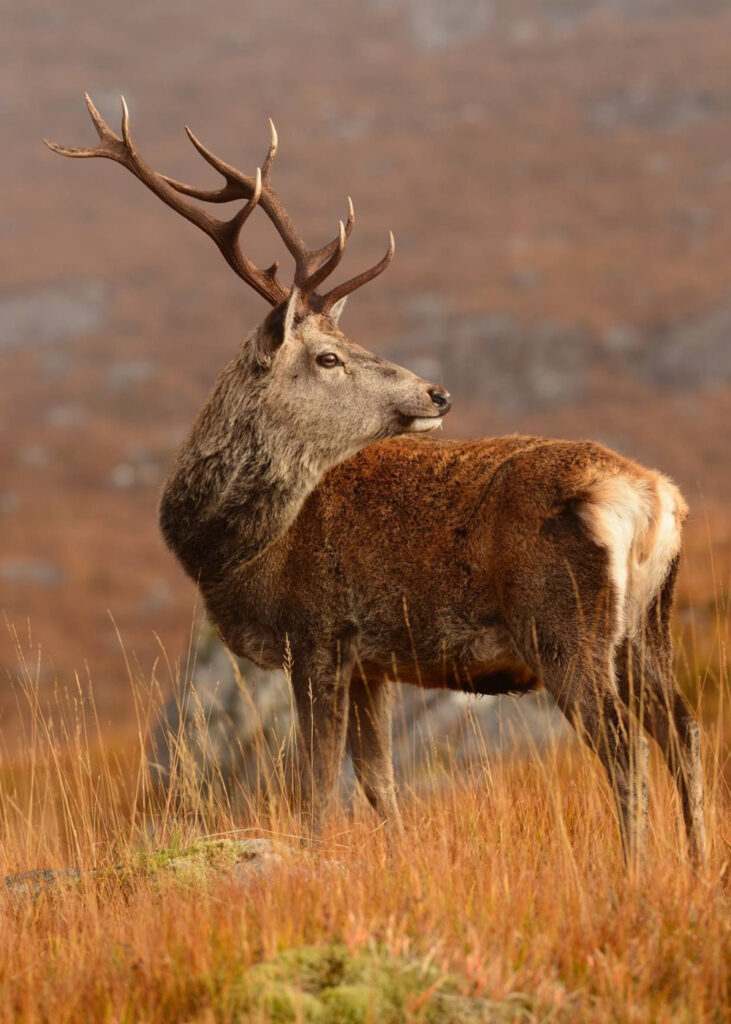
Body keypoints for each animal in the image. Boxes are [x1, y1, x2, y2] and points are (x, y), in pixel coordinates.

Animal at [47, 96, 706, 866]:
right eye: (330, 356)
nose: (437, 392)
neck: (243, 557)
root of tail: (656, 501)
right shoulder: (372, 661)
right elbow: (376, 781)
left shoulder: (318, 637)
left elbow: (312, 784)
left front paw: (310, 861)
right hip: (646, 626)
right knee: (684, 730)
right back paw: (696, 865)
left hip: (564, 624)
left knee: (625, 746)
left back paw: (634, 868)